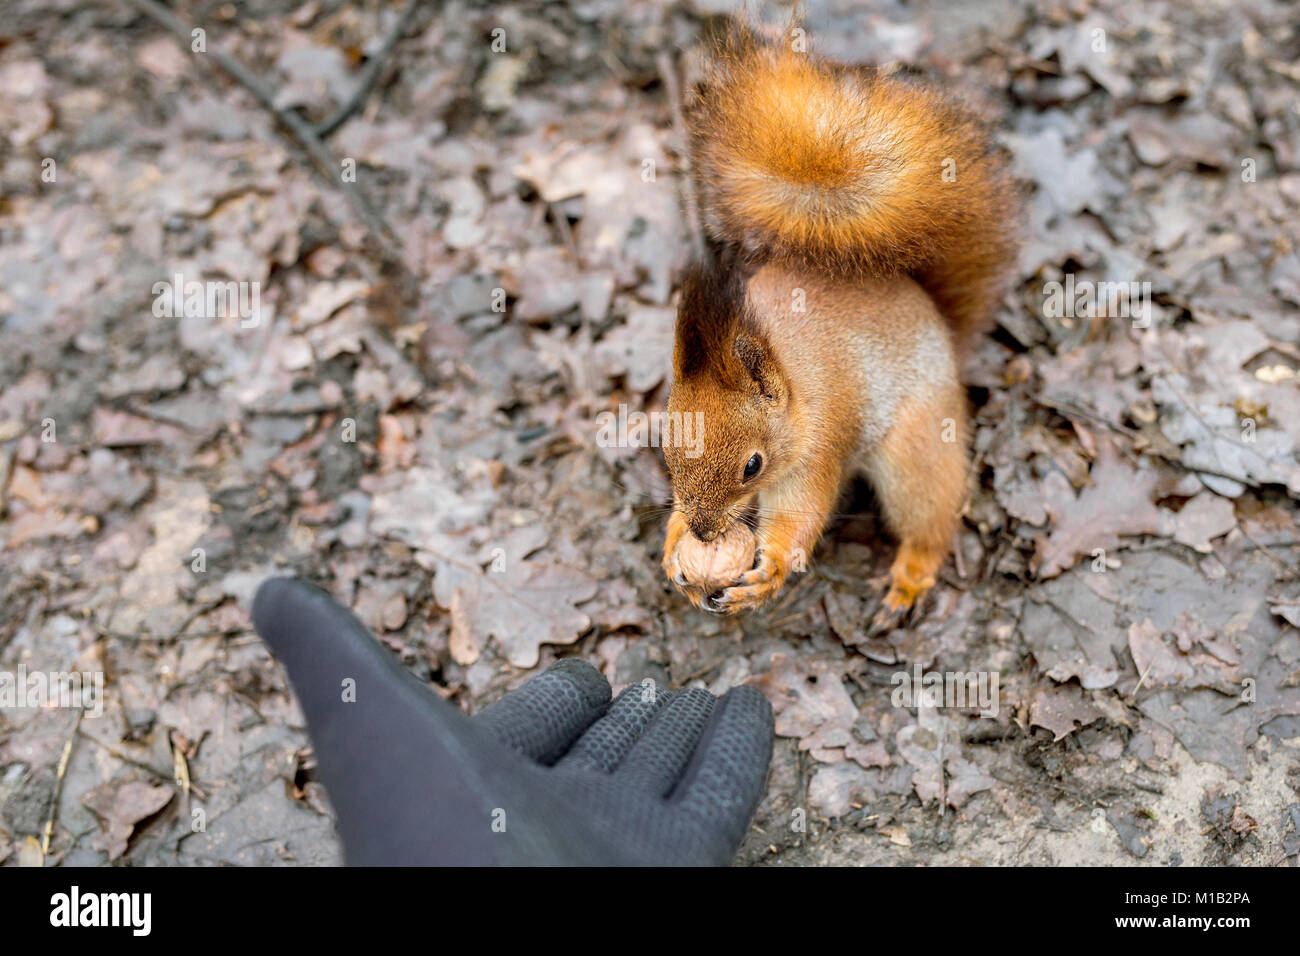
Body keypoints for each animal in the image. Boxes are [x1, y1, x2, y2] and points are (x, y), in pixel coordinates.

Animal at [661, 30, 1019, 628]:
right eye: (665, 449)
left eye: (752, 466)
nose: (705, 534)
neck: (791, 379)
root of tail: (935, 318)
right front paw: (673, 547)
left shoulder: (821, 446)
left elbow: (801, 518)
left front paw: (769, 574)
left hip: (917, 446)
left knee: (931, 518)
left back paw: (909, 580)